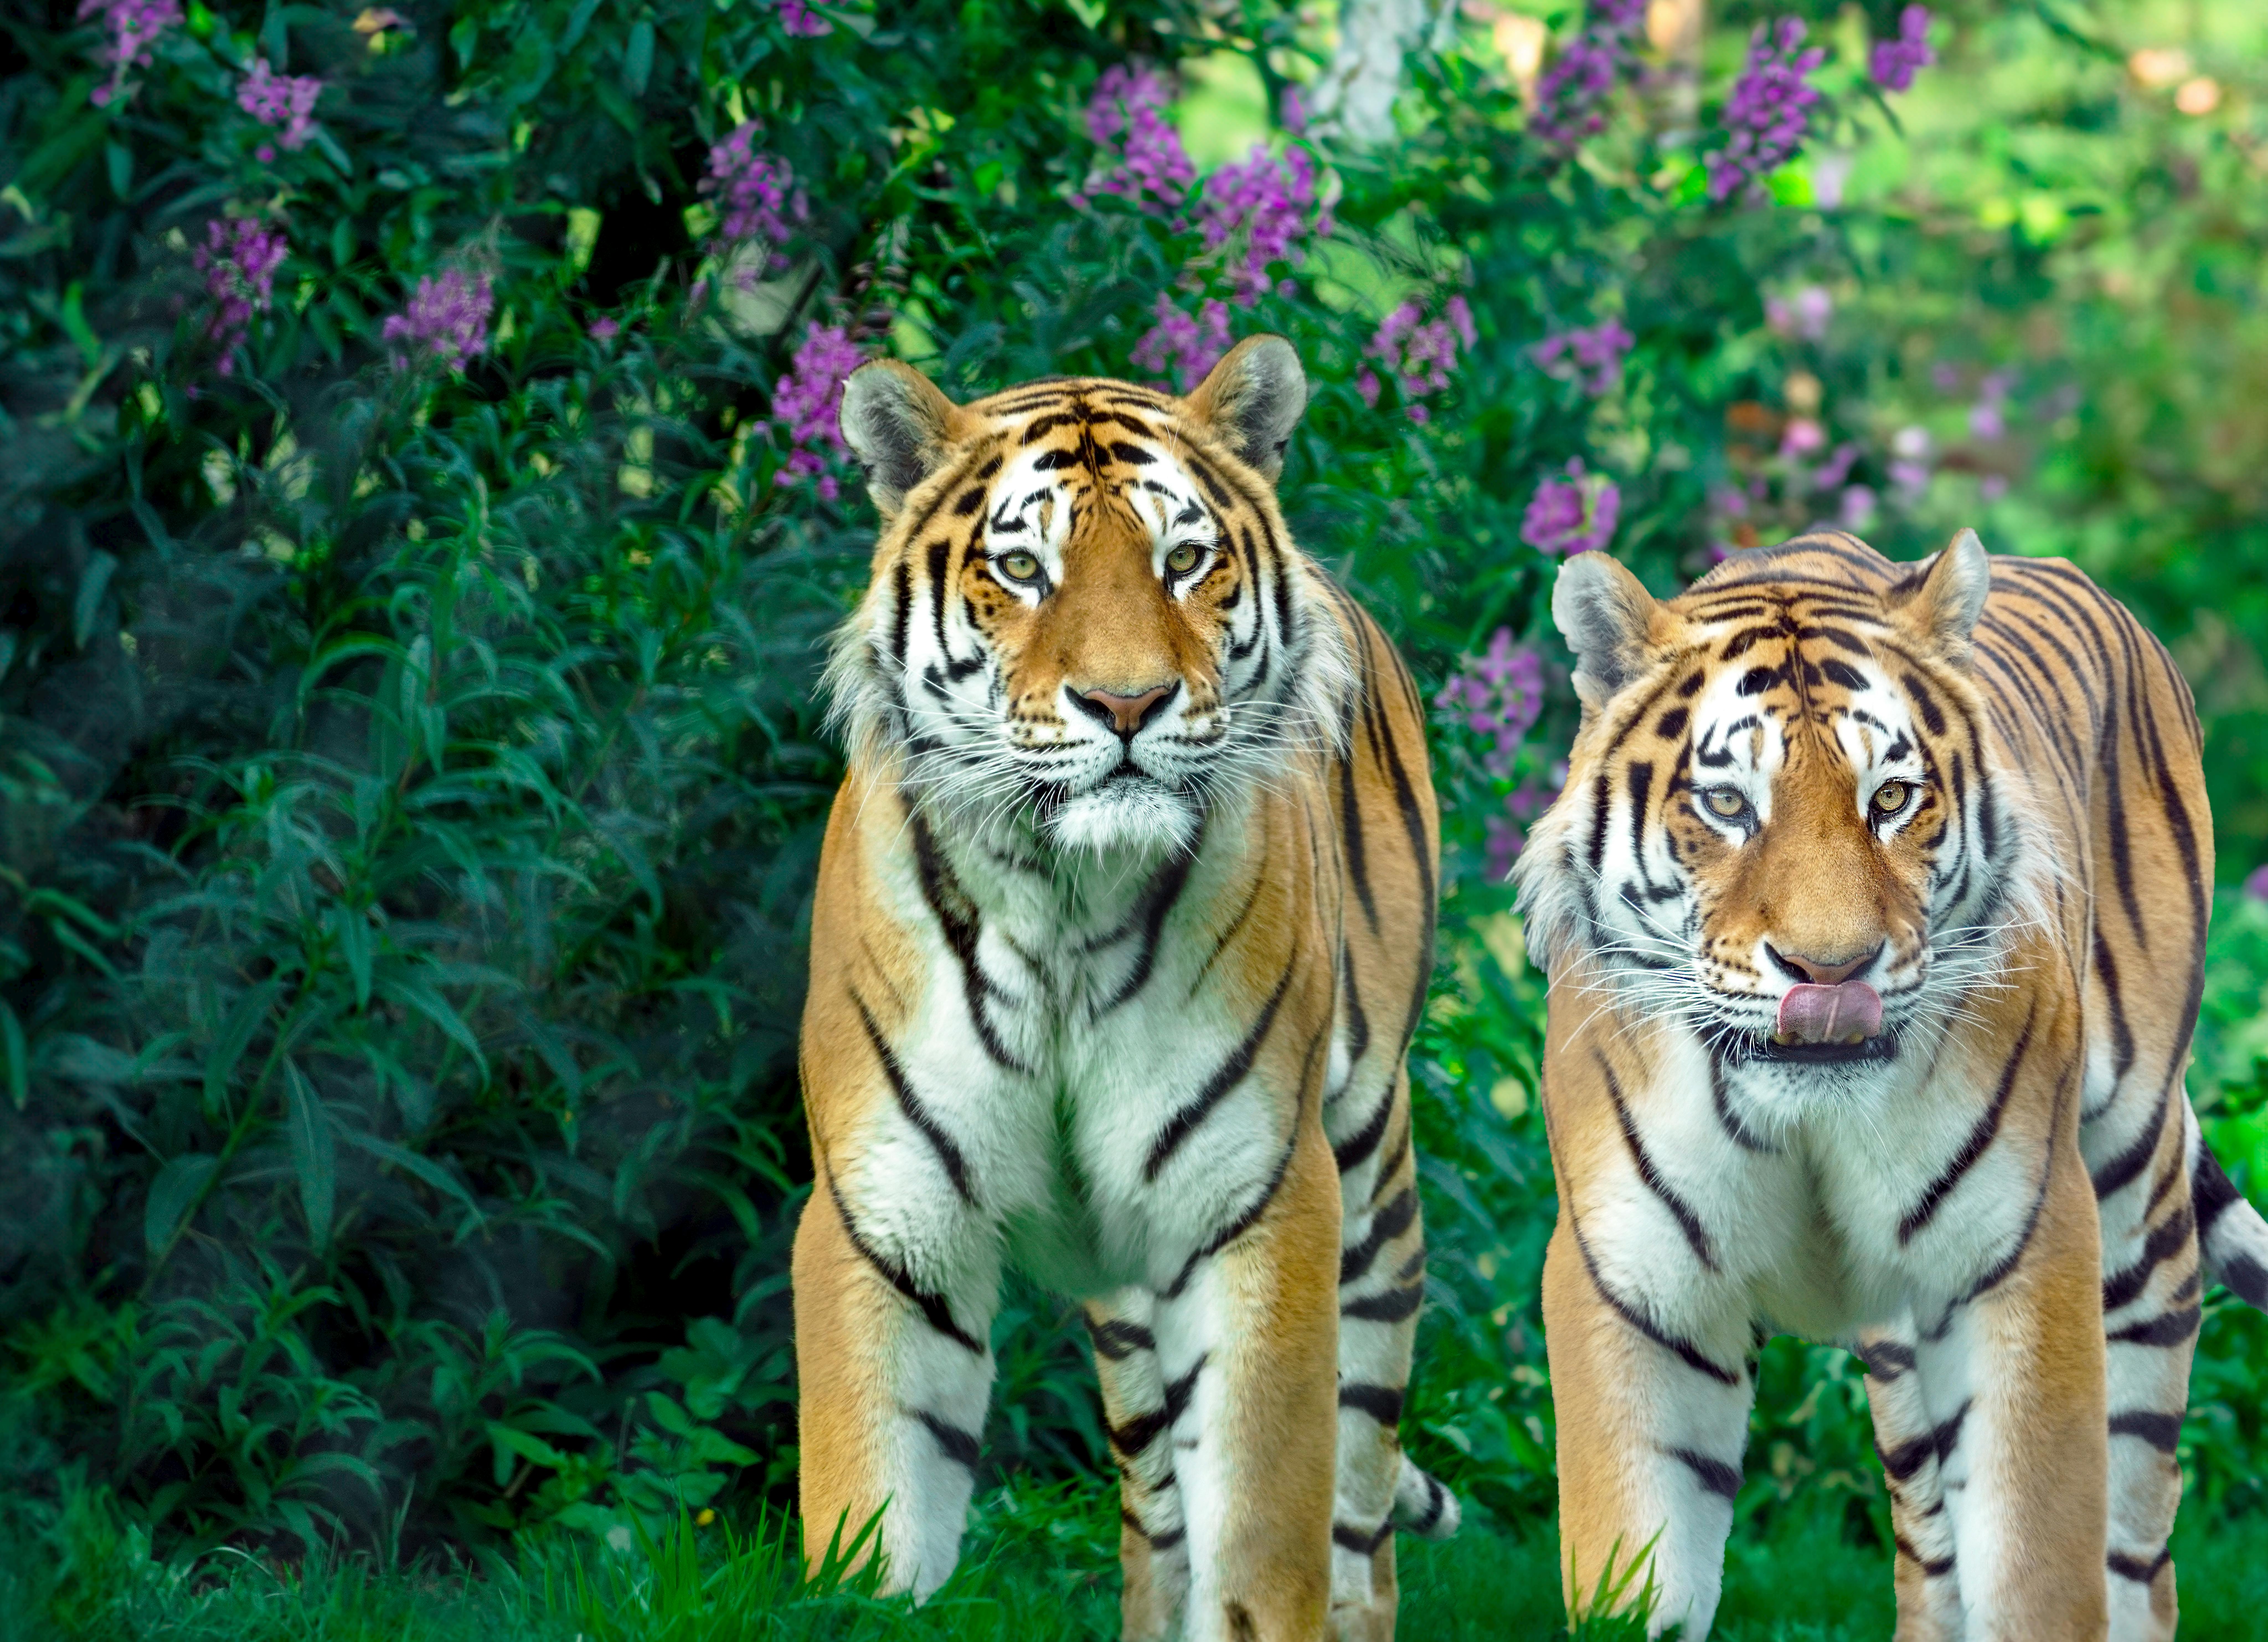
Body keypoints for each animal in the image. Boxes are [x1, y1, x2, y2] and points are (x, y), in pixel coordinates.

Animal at [791, 335, 1459, 1642]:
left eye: (1183, 560)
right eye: (1020, 568)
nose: (1127, 704)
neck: (1060, 897)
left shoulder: (1255, 1202)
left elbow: (1260, 1537)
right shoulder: (881, 1211)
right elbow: (873, 1513)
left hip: (1373, 1192)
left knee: (1358, 1506)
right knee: (1155, 1506)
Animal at [1510, 529, 2268, 1640]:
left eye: (1891, 800)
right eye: (1726, 805)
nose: (1829, 973)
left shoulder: (2017, 1255)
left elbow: (2034, 1569)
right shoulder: (1637, 1287)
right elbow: (1635, 1570)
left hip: (2135, 1215)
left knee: (2135, 1530)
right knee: (1928, 1538)